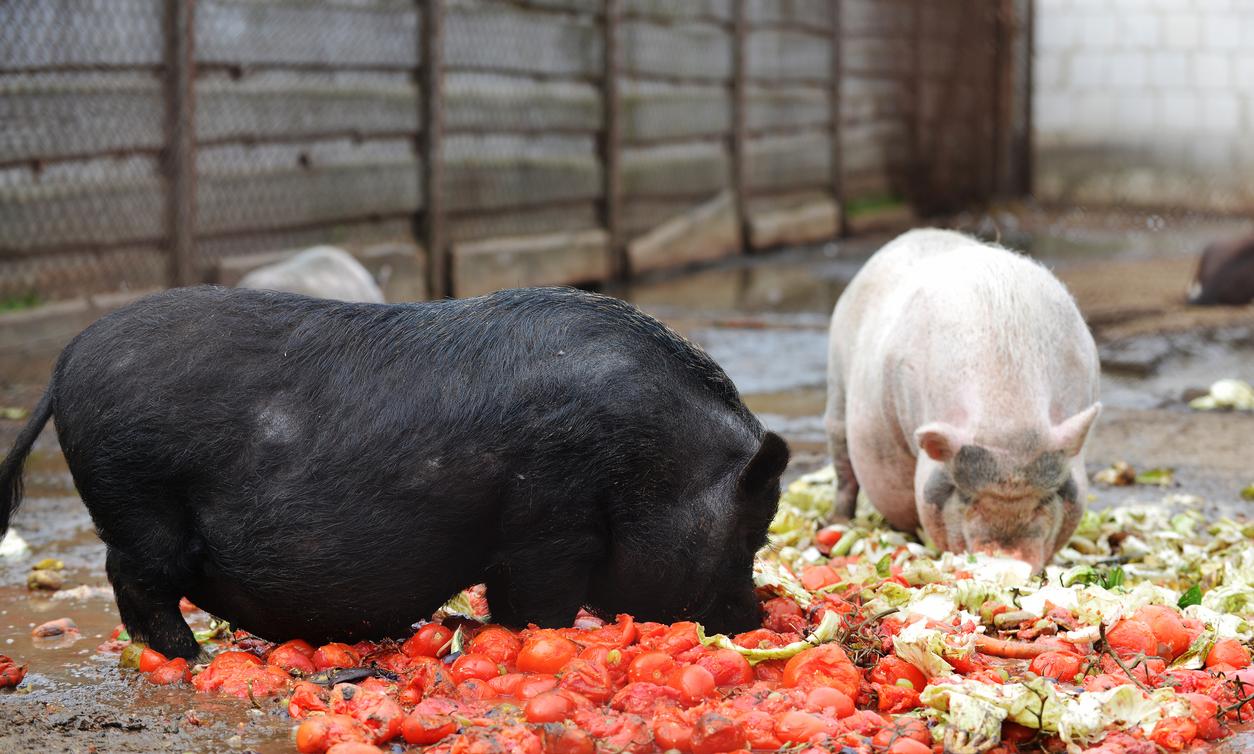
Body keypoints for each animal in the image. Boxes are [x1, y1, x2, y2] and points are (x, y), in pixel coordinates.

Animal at [0, 286, 788, 660]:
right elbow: (541, 607)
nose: (757, 617)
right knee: (132, 579)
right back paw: (190, 657)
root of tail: (64, 367)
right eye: (750, 536)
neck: (649, 467)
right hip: (138, 502)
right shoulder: (550, 527)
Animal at [824, 229, 1101, 571]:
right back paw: (838, 523)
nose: (1006, 557)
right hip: (837, 382)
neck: (1007, 414)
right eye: (967, 497)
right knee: (842, 459)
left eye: (1046, 499)